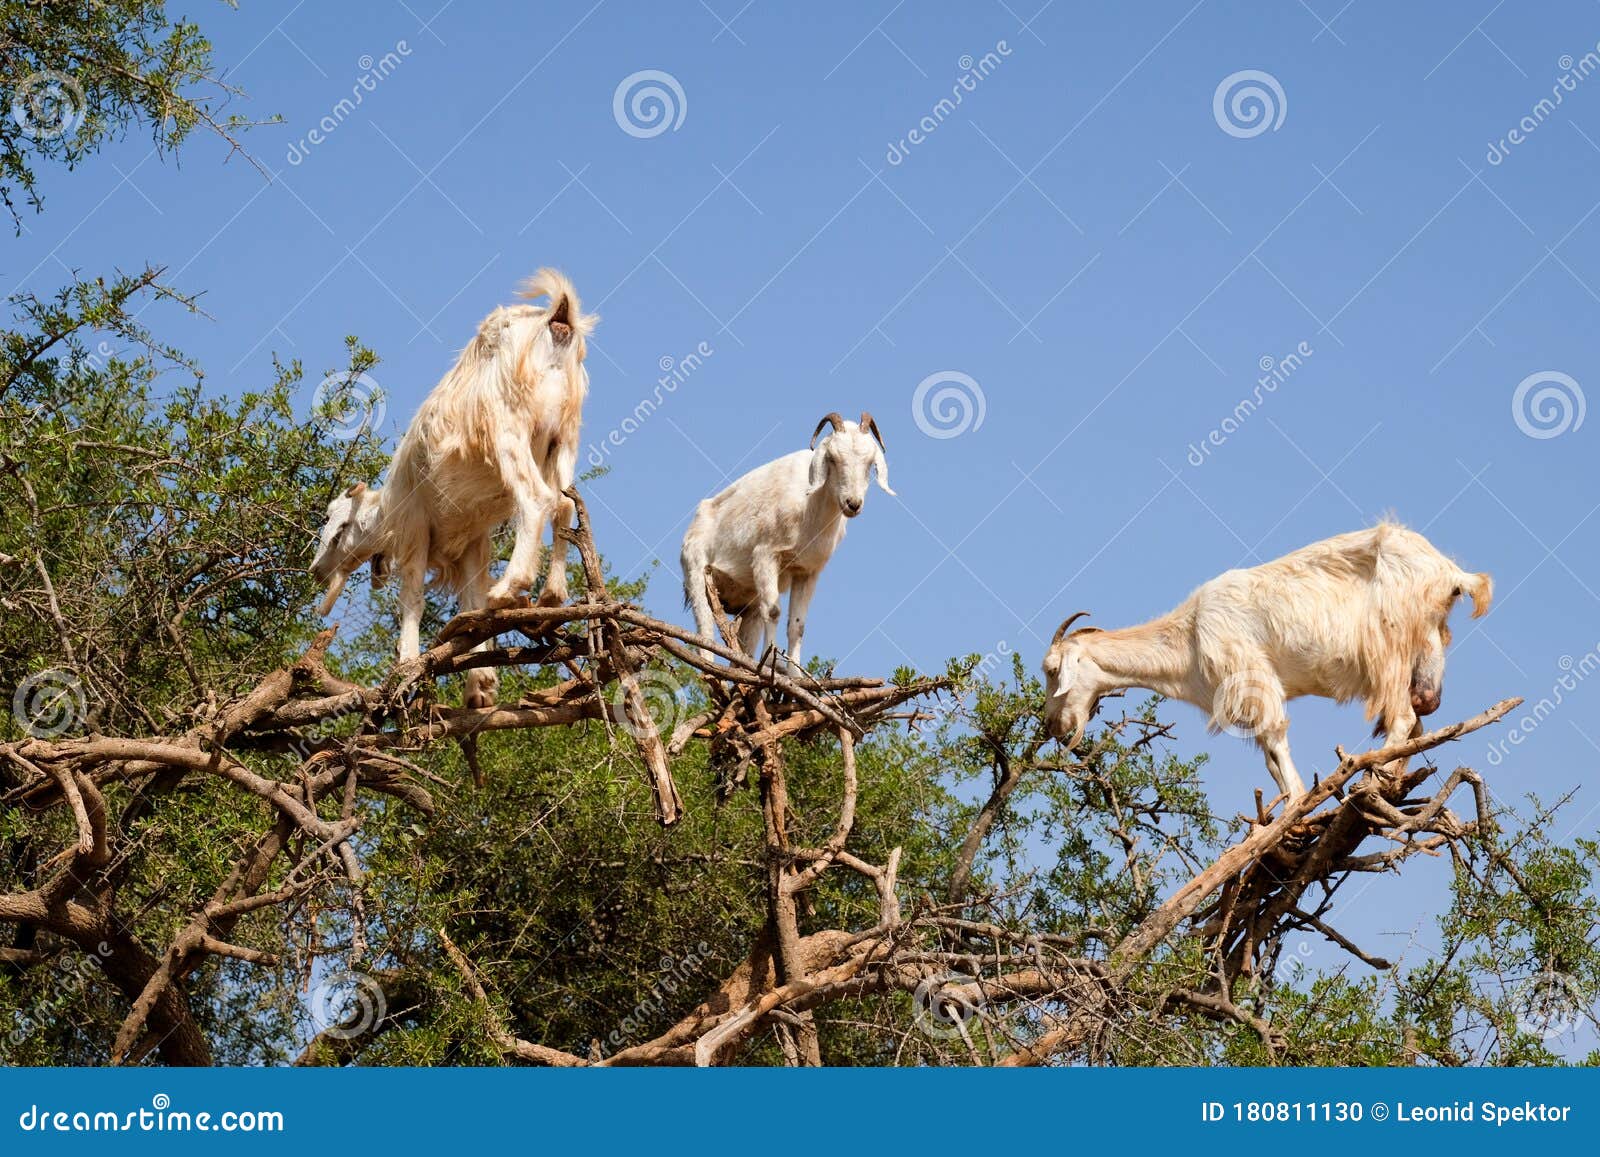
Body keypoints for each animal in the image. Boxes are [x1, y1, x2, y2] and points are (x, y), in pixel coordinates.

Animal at [310, 269, 597, 710]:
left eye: (337, 526)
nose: (316, 570)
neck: (388, 509)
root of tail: (557, 317)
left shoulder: (415, 531)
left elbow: (412, 597)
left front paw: (406, 664)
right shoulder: (471, 542)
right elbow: (470, 599)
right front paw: (480, 687)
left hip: (508, 427)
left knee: (537, 499)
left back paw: (511, 587)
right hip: (563, 439)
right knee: (565, 507)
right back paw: (551, 594)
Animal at [681, 412, 893, 670]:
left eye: (870, 463)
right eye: (832, 459)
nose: (852, 503)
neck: (809, 506)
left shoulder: (808, 571)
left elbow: (797, 626)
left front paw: (794, 674)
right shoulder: (766, 555)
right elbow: (773, 611)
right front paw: (769, 662)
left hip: (749, 603)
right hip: (696, 577)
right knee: (705, 634)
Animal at [1040, 521, 1491, 804]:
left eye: (1051, 671)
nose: (1054, 727)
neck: (1190, 635)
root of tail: (1452, 573)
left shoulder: (1252, 677)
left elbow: (1276, 739)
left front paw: (1294, 806)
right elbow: (1268, 759)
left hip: (1389, 647)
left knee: (1402, 717)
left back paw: (1371, 781)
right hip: (1428, 645)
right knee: (1422, 716)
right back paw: (1394, 777)